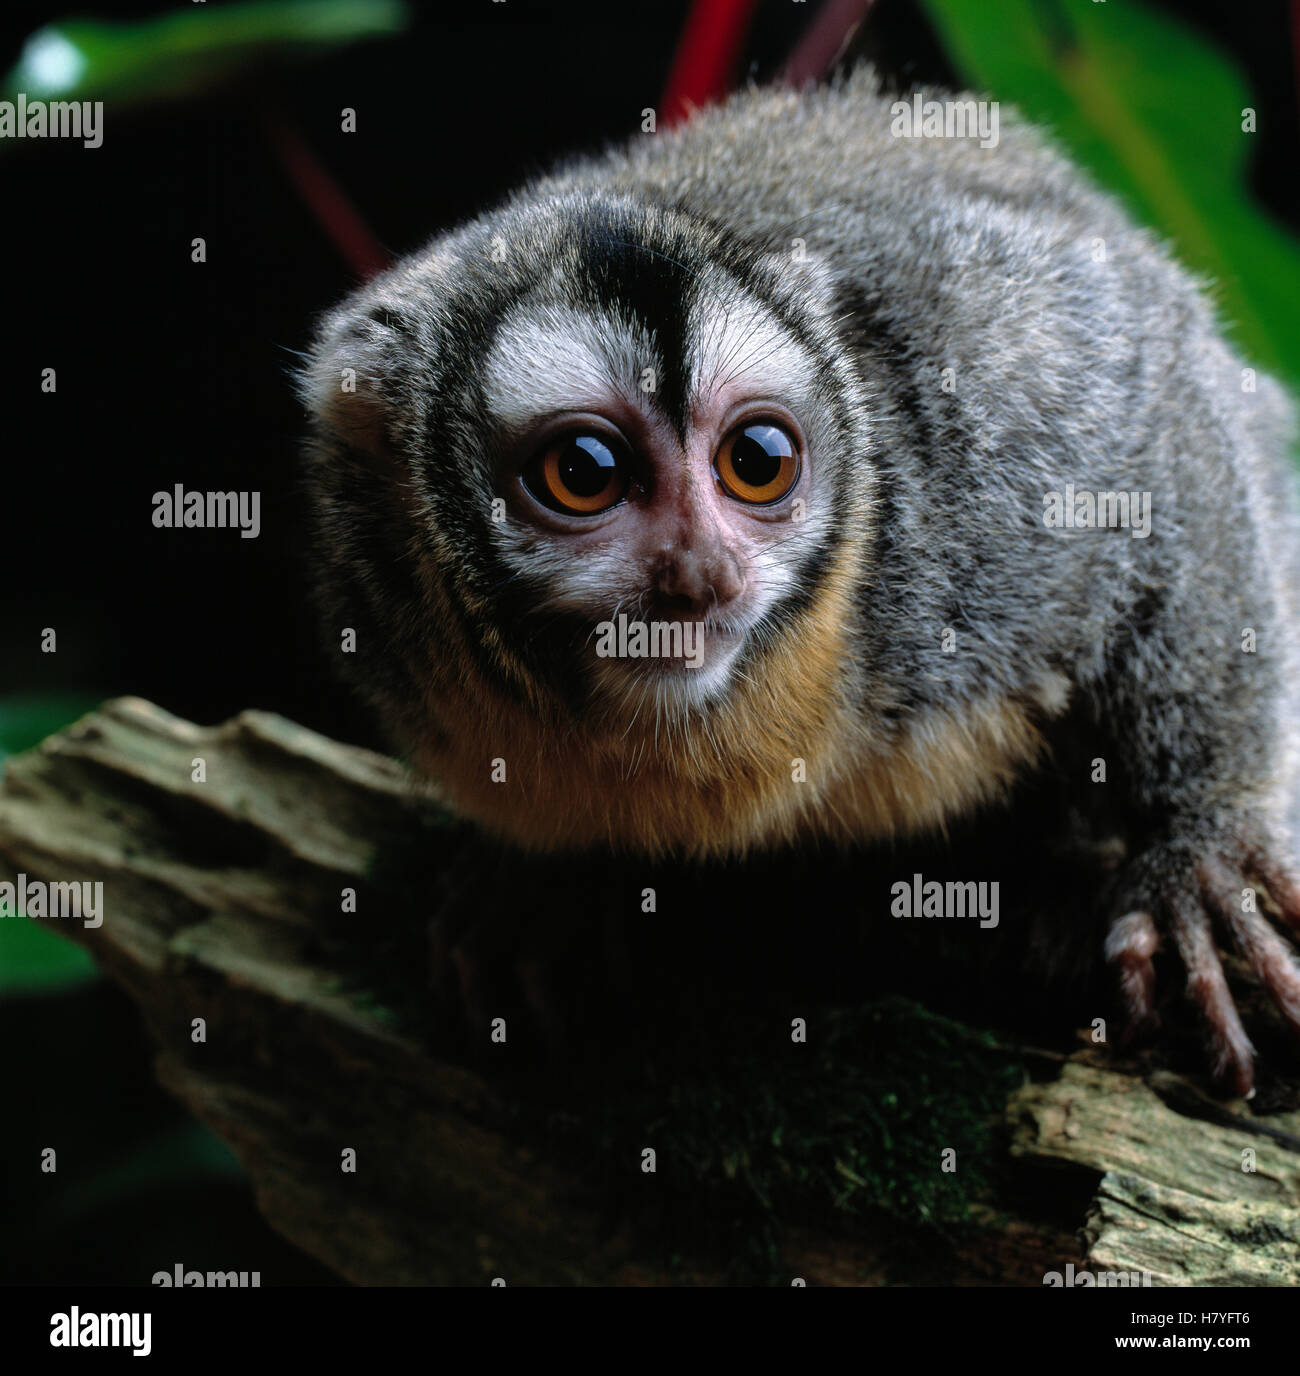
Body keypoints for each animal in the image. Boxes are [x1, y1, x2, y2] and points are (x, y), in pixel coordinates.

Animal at [299, 66, 1300, 1096]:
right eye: (583, 470)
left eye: (758, 462)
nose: (703, 574)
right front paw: (535, 889)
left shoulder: (981, 442)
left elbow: (1155, 411)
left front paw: (1198, 856)